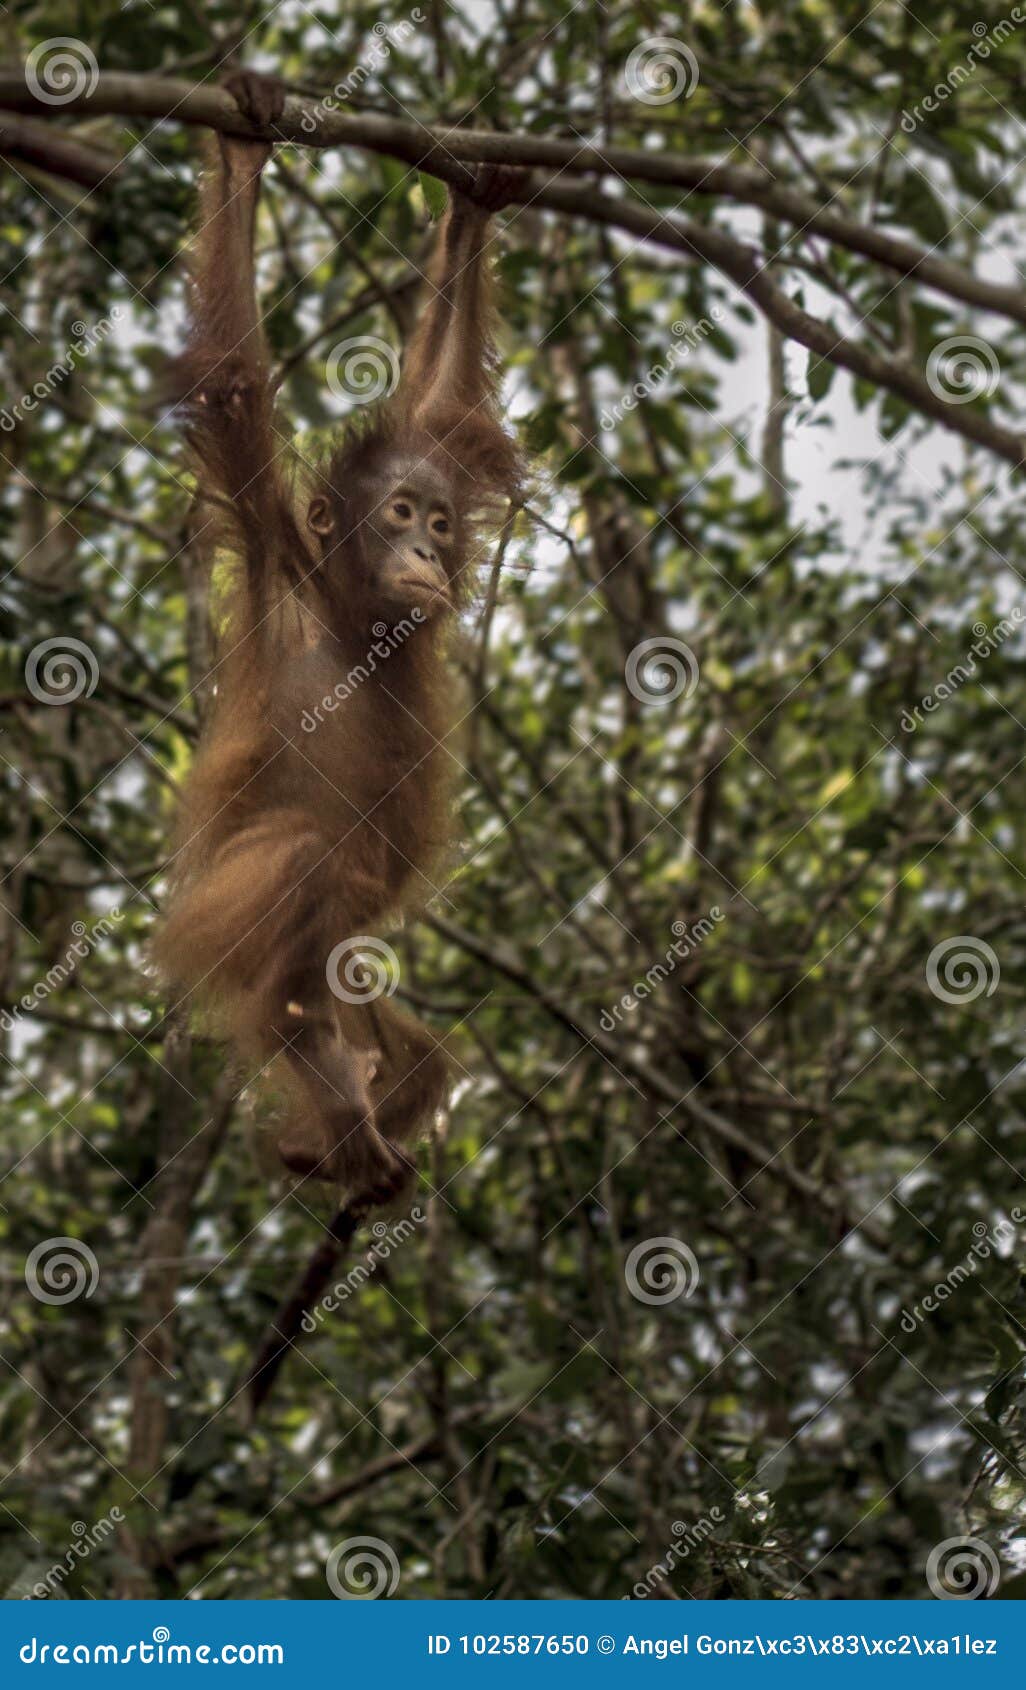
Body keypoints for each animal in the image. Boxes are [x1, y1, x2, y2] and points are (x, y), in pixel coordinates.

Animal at [153, 72, 524, 1209]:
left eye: (440, 518)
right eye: (397, 514)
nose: (428, 550)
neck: (356, 621)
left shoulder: (442, 442)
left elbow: (442, 400)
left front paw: (471, 209)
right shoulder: (278, 557)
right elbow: (235, 386)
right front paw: (242, 148)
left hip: (348, 970)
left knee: (419, 1055)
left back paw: (333, 1134)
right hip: (215, 920)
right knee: (305, 864)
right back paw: (314, 1065)